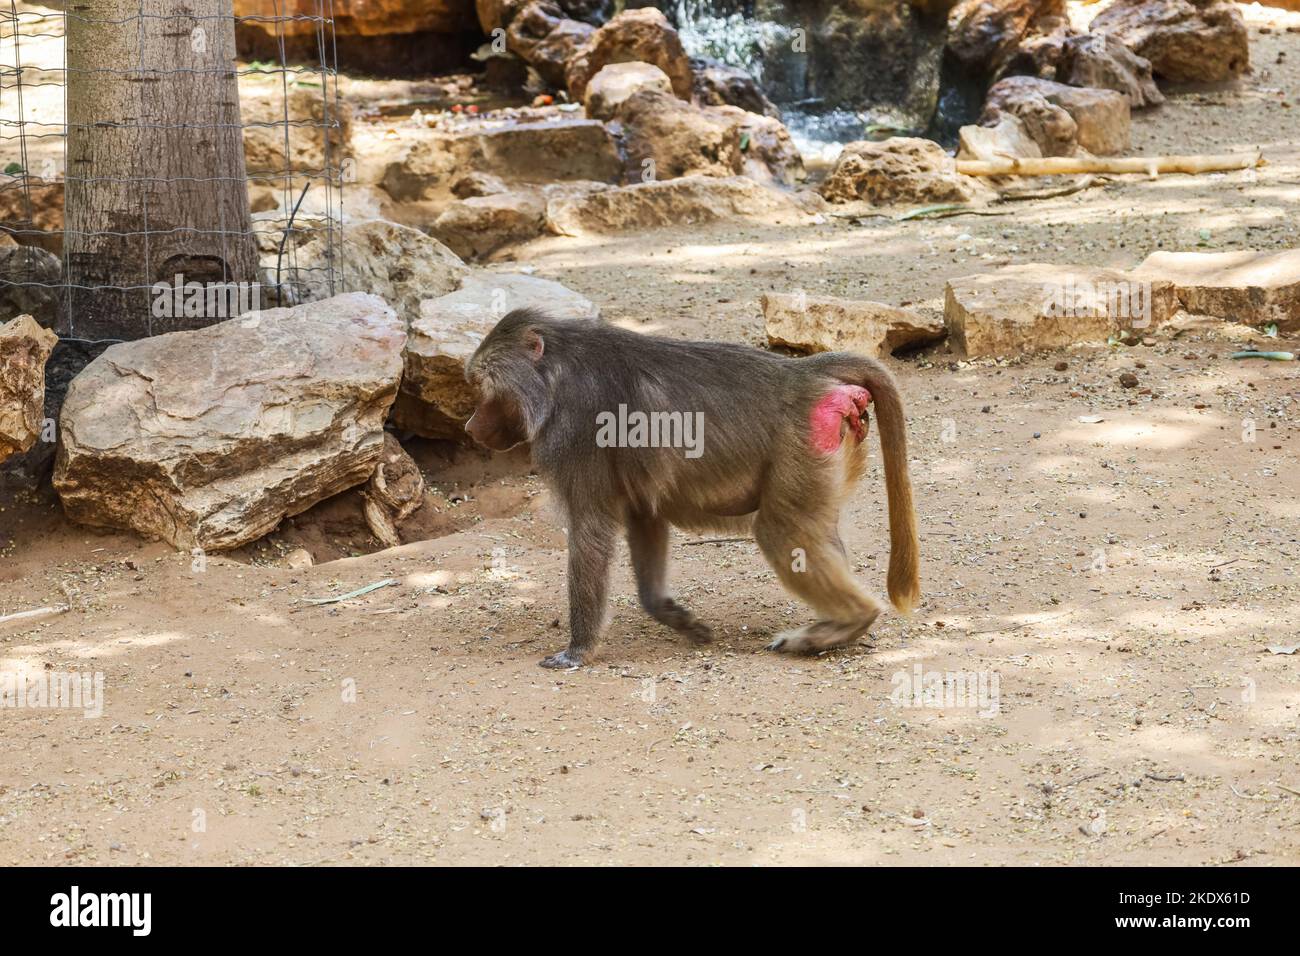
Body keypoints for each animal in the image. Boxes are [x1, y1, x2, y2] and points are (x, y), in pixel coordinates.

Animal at [464, 307, 919, 668]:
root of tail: (803, 373)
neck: (556, 373)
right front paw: (679, 619)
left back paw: (843, 623)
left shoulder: (575, 434)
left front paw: (577, 651)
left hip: (802, 449)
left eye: (483, 387)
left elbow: (590, 532)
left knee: (781, 532)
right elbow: (644, 518)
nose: (470, 428)